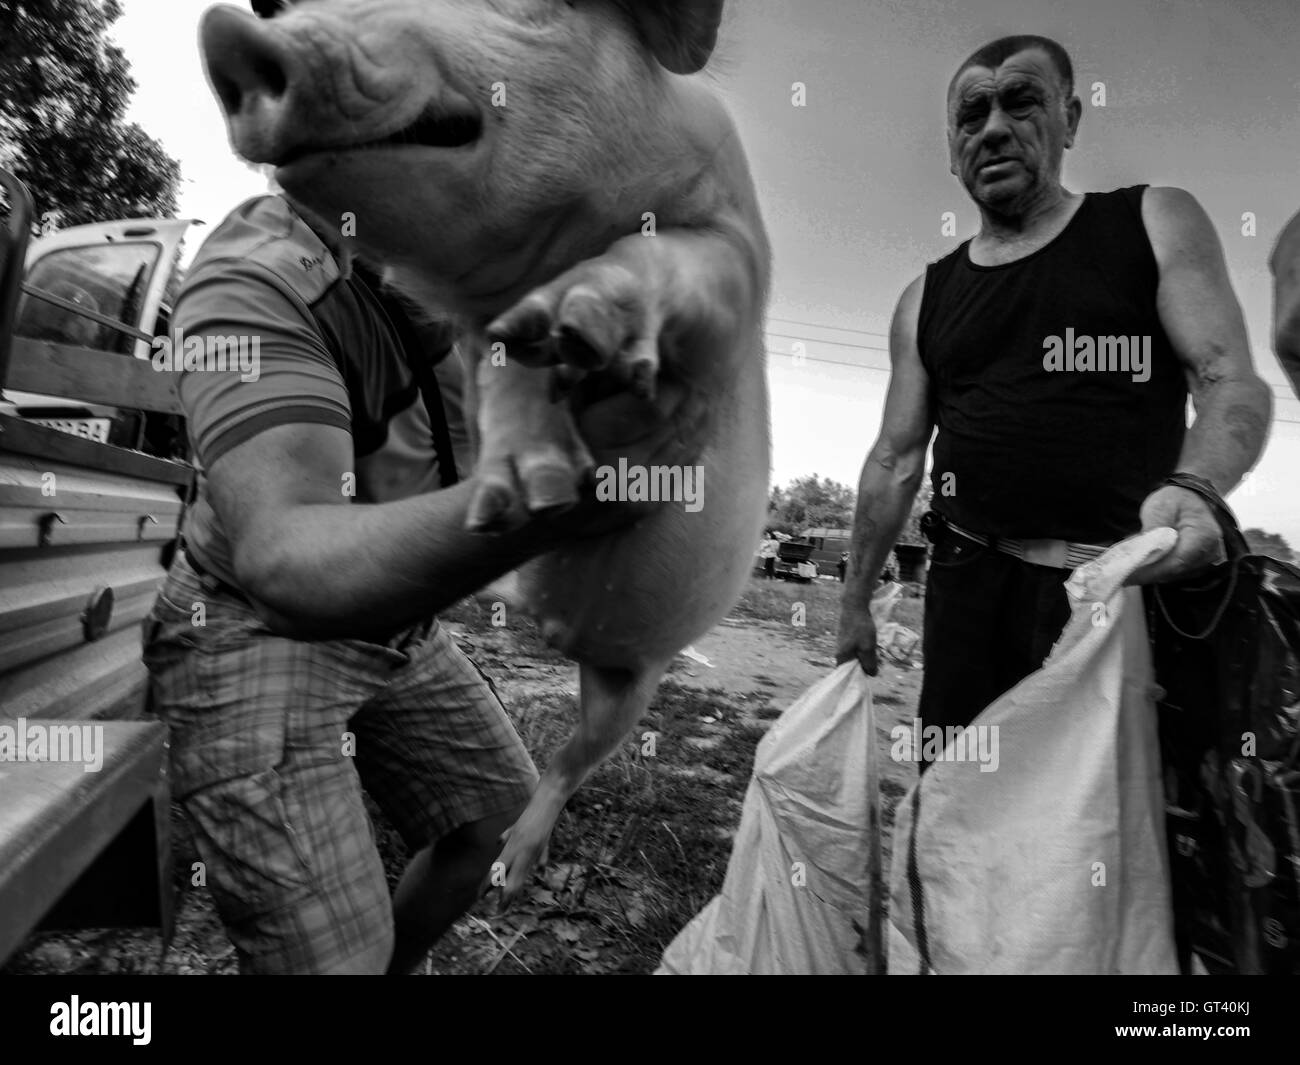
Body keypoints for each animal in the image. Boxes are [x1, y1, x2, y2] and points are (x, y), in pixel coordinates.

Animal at [199, 0, 771, 903]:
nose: (228, 30)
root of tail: (563, 633)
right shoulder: (473, 336)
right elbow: (505, 366)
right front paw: (521, 492)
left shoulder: (734, 252)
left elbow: (663, 256)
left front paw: (579, 324)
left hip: (639, 676)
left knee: (573, 760)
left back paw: (513, 870)